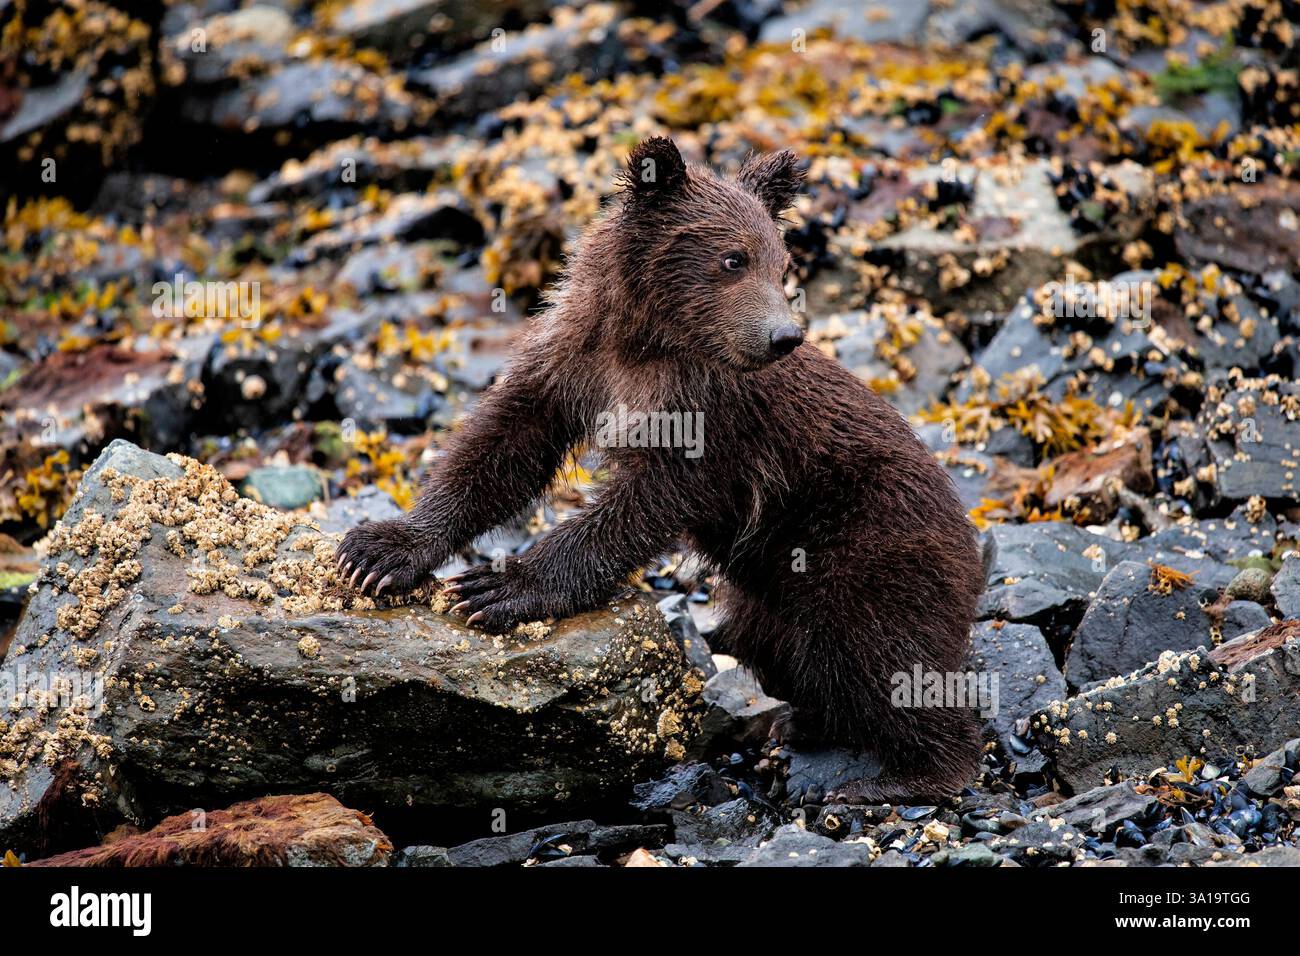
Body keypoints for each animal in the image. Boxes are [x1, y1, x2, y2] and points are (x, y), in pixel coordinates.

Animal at [335, 137, 987, 801]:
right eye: (733, 259)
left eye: (781, 265)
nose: (784, 337)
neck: (648, 344)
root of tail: (970, 538)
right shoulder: (571, 363)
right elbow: (502, 447)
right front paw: (381, 550)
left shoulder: (711, 422)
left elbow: (643, 503)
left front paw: (502, 587)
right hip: (772, 592)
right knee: (784, 652)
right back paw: (801, 723)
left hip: (867, 548)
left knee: (883, 655)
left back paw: (904, 777)